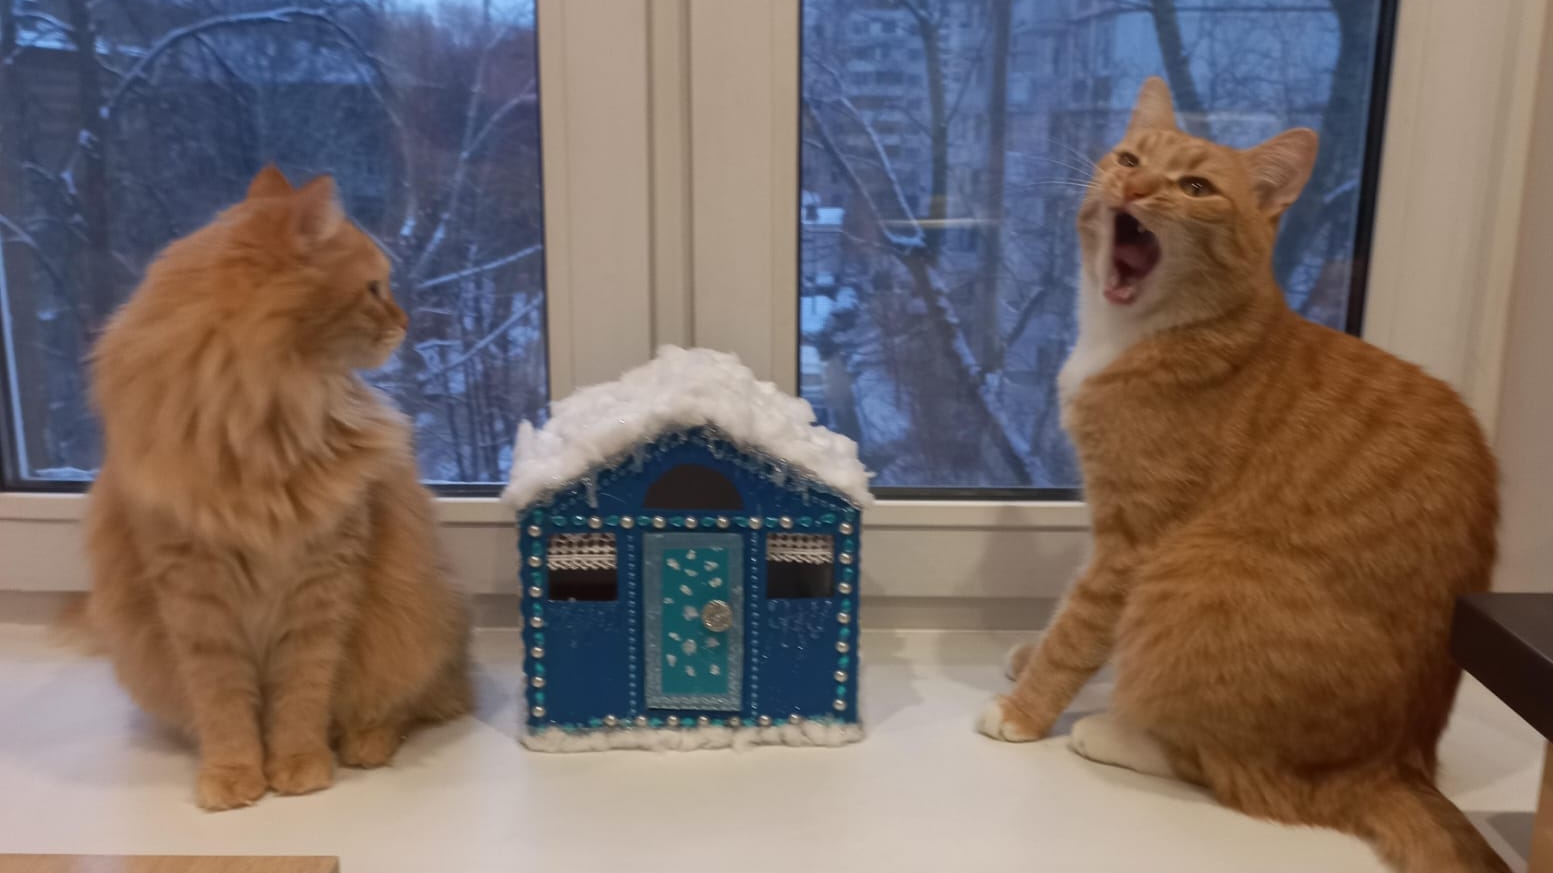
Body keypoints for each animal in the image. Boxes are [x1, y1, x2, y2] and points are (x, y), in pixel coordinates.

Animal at [80, 166, 472, 811]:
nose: (406, 322)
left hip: (416, 626)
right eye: (373, 288)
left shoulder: (323, 582)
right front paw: (234, 775)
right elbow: (223, 705)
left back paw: (365, 743)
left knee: (407, 706)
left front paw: (297, 765)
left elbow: (302, 696)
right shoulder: (193, 594)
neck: (258, 431)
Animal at [979, 79, 1506, 873]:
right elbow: (1070, 607)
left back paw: (1113, 731)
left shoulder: (1135, 539)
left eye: (1195, 188)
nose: (1135, 187)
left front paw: (1025, 708)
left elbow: (1082, 622)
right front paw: (1030, 654)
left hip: (1198, 565)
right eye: (1129, 158)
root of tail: (1392, 763)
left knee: (1239, 774)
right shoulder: (1109, 523)